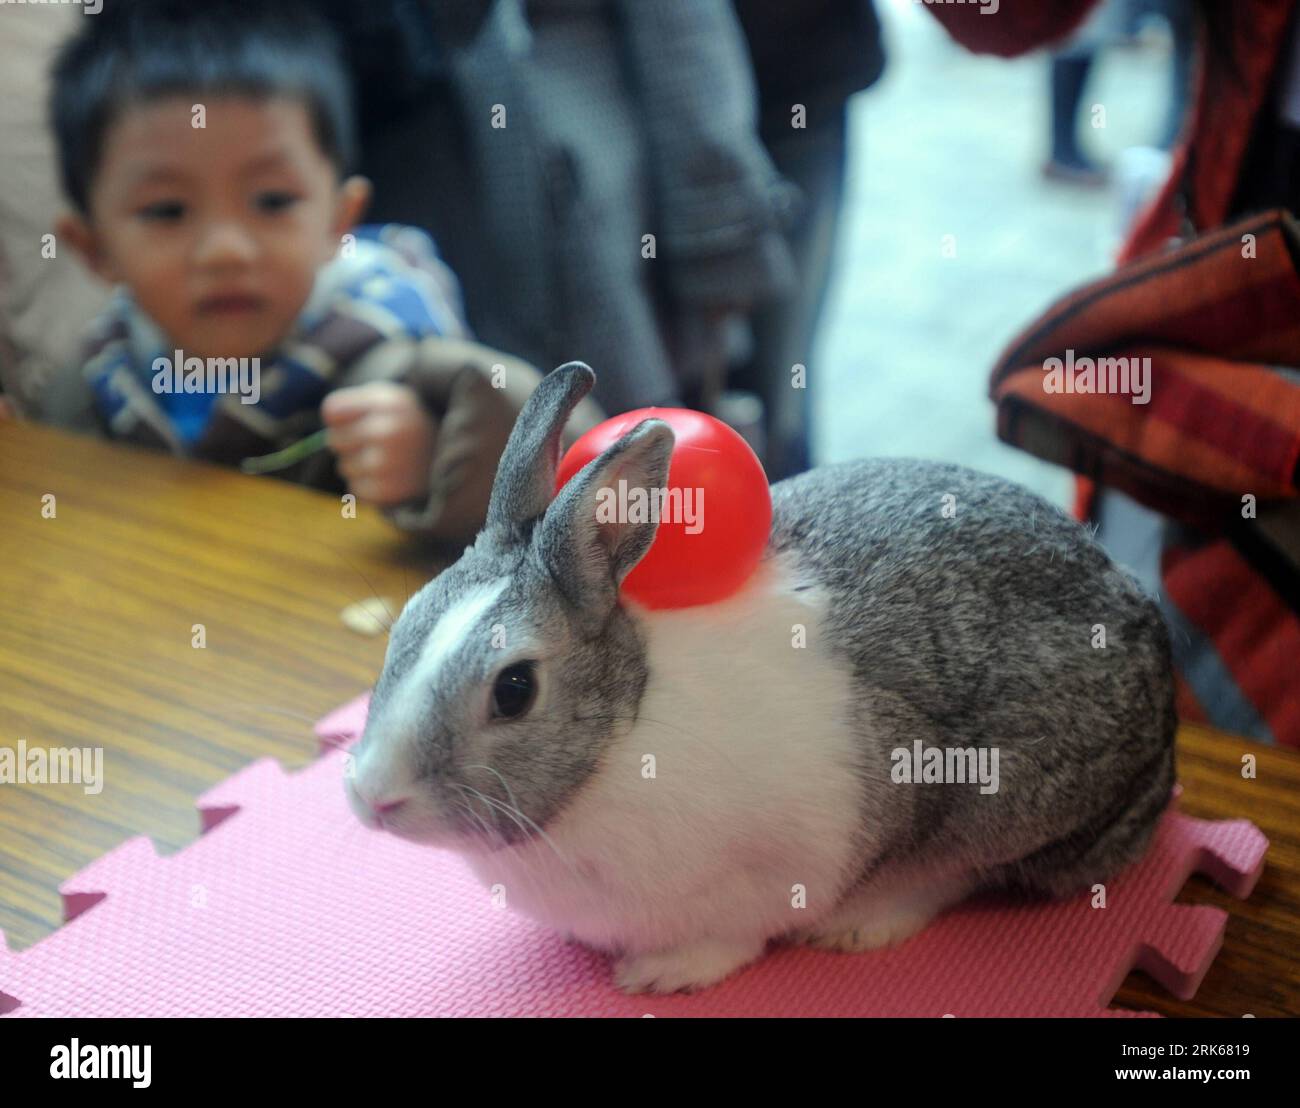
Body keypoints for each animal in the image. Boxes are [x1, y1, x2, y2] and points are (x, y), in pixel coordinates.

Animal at [345, 361, 1177, 994]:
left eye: (514, 689)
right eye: (406, 623)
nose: (371, 799)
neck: (624, 732)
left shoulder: (763, 875)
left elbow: (733, 938)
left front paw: (658, 977)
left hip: (1005, 800)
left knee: (958, 870)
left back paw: (861, 924)